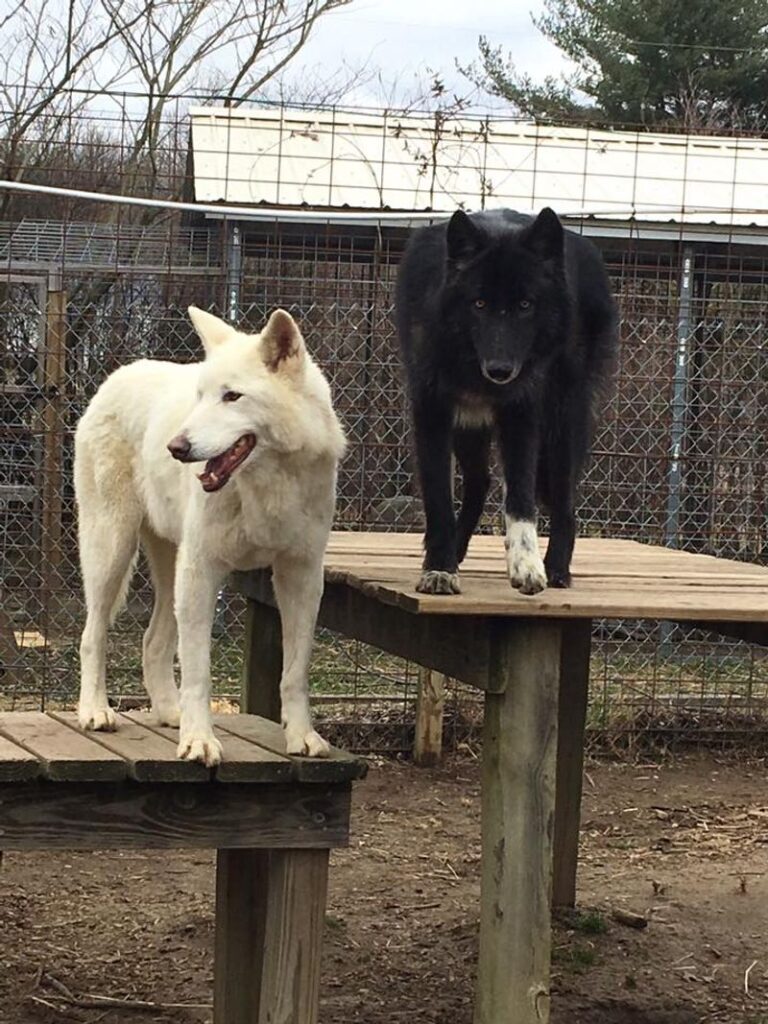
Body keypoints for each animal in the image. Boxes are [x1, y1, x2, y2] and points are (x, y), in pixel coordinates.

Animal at [75, 307, 345, 766]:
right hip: (113, 551)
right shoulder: (203, 570)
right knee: (92, 634)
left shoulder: (302, 576)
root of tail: (119, 374)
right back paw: (95, 711)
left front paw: (302, 736)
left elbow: (295, 672)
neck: (265, 488)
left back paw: (169, 713)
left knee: (152, 641)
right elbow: (199, 672)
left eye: (232, 396)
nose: (177, 447)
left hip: (170, 569)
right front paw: (199, 740)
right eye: (200, 396)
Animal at [395, 207, 617, 595]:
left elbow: (521, 496)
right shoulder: (431, 412)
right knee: (480, 482)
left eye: (525, 305)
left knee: (565, 502)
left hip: (562, 421)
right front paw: (440, 567)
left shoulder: (521, 411)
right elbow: (438, 498)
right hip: (469, 426)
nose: (500, 370)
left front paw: (527, 565)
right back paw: (457, 550)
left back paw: (557, 569)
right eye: (479, 303)